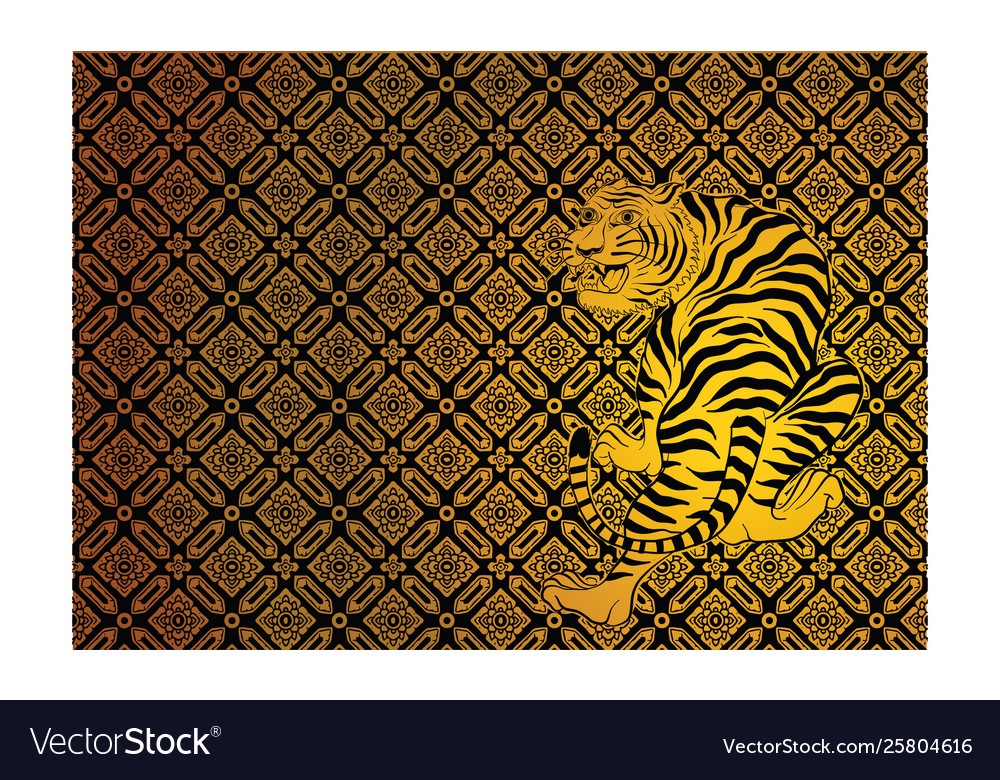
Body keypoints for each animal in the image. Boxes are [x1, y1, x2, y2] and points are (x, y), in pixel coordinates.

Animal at [541, 179, 864, 627]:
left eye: (625, 218)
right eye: (588, 216)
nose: (582, 248)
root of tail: (748, 401)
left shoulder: (666, 342)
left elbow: (649, 403)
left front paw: (622, 452)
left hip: (706, 437)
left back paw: (590, 603)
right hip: (837, 381)